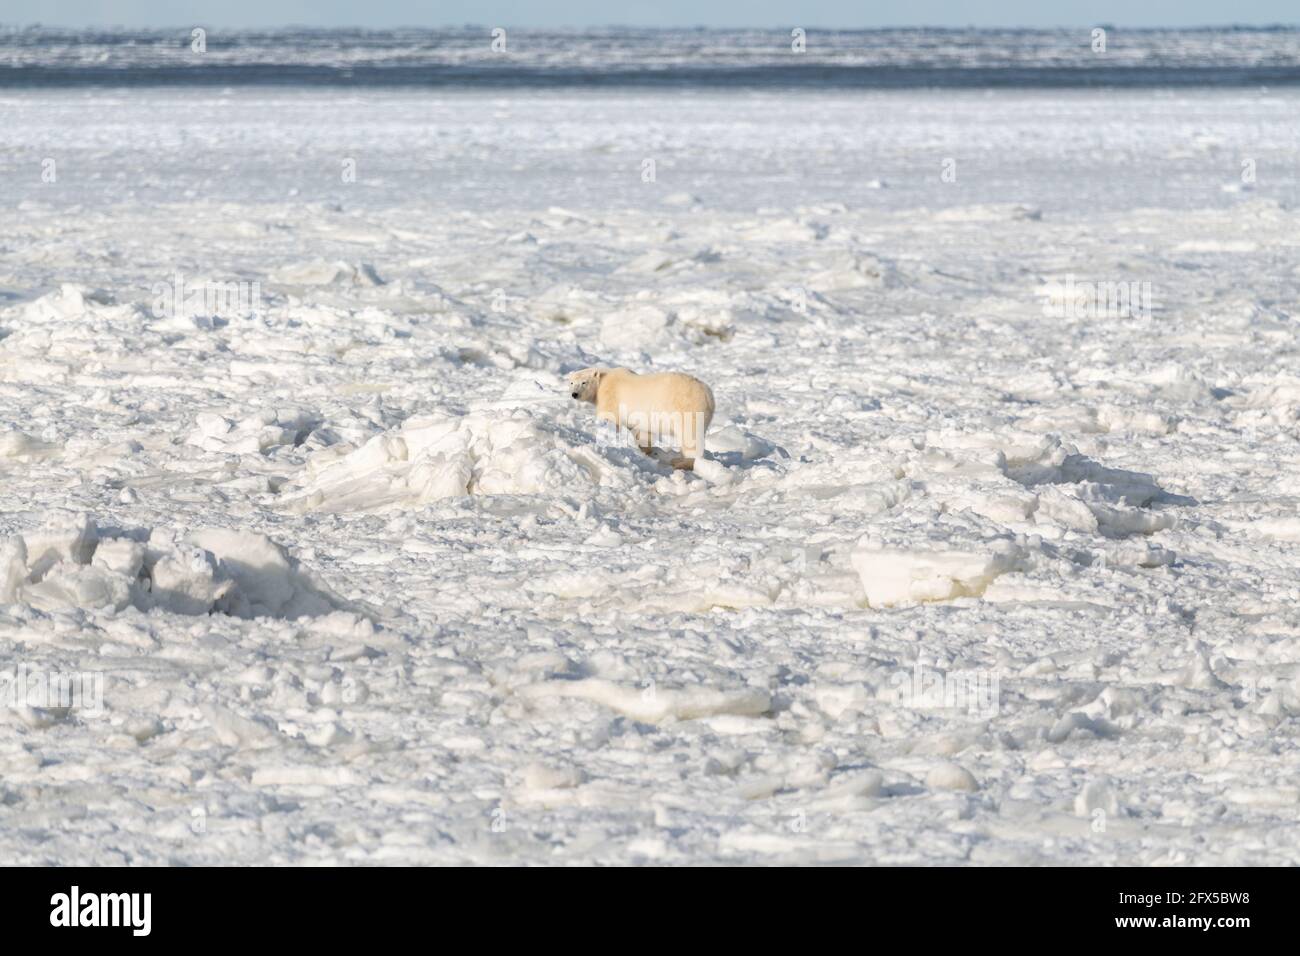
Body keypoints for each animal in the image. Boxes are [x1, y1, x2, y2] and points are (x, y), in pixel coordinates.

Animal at [568, 366, 714, 470]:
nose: (574, 394)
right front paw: (646, 450)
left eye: (583, 382)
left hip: (687, 409)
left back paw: (682, 463)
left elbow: (609, 418)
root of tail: (708, 396)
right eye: (571, 382)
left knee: (690, 437)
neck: (604, 379)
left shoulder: (610, 396)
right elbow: (642, 432)